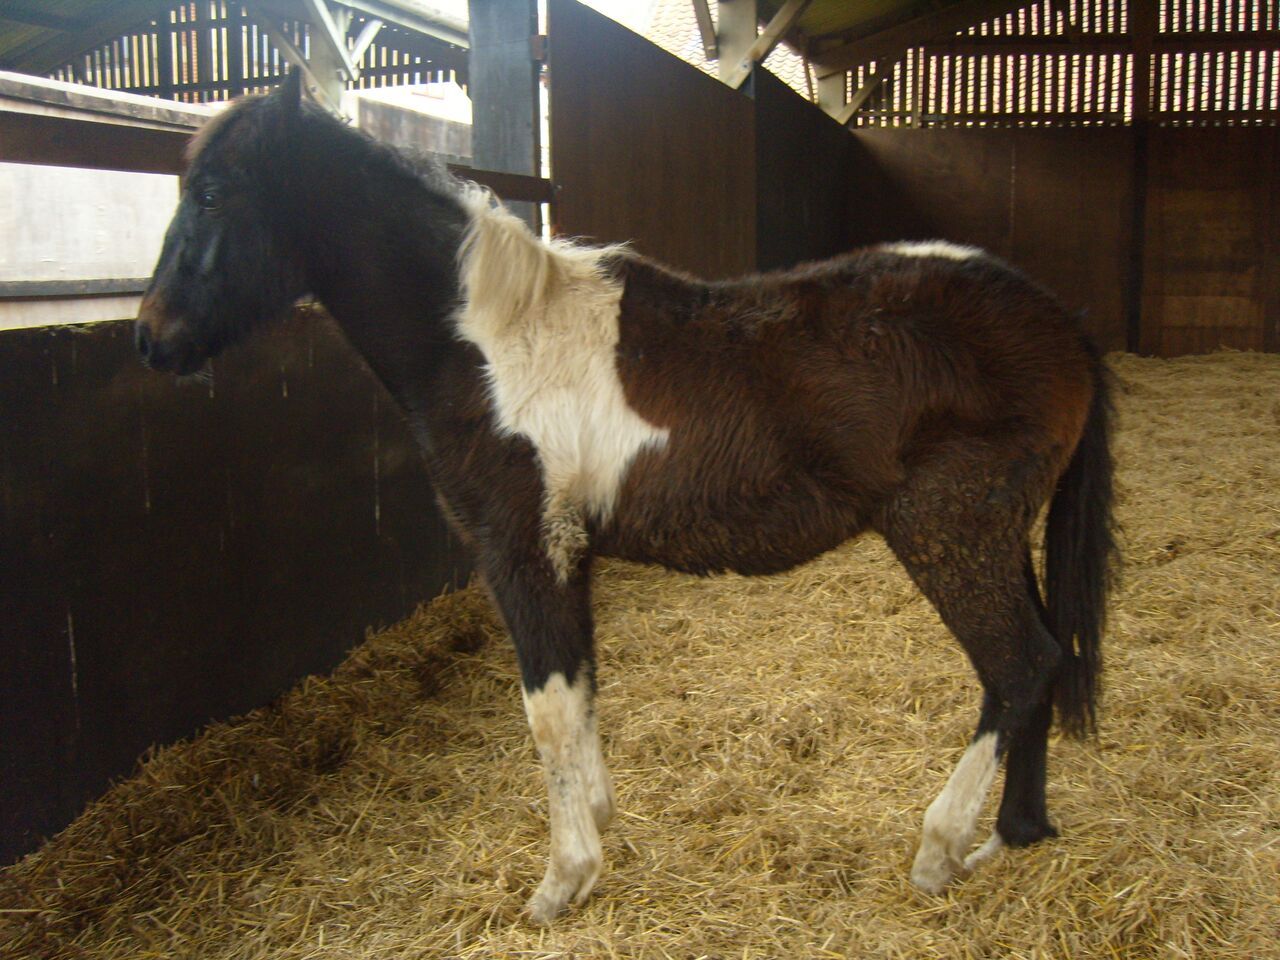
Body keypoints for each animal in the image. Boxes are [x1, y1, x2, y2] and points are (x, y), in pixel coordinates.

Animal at [135, 73, 1116, 923]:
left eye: (213, 194)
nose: (151, 339)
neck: (485, 343)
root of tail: (1058, 321)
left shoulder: (522, 551)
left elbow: (547, 709)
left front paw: (562, 881)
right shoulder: (566, 552)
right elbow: (580, 693)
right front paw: (597, 830)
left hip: (948, 531)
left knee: (1020, 667)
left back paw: (940, 849)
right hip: (996, 536)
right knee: (1046, 662)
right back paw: (1013, 836)